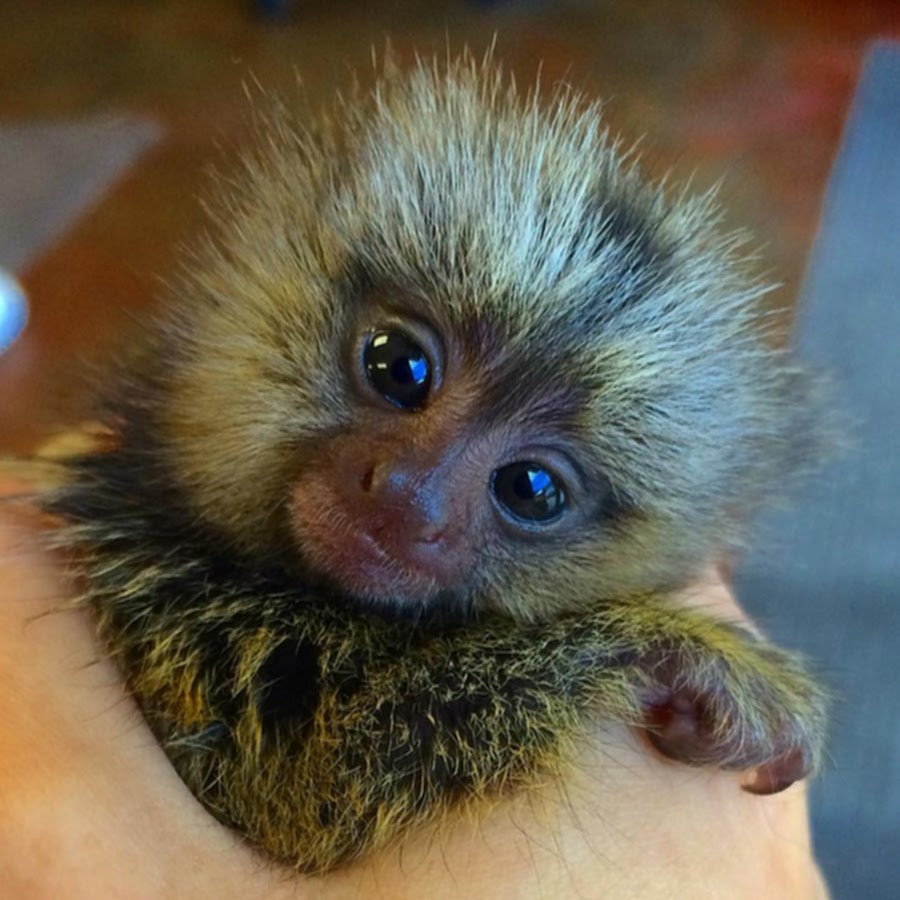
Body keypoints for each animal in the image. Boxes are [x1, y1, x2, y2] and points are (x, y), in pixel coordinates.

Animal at [6, 55, 829, 874]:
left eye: (531, 488)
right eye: (400, 366)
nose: (408, 497)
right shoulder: (161, 598)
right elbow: (305, 786)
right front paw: (675, 649)